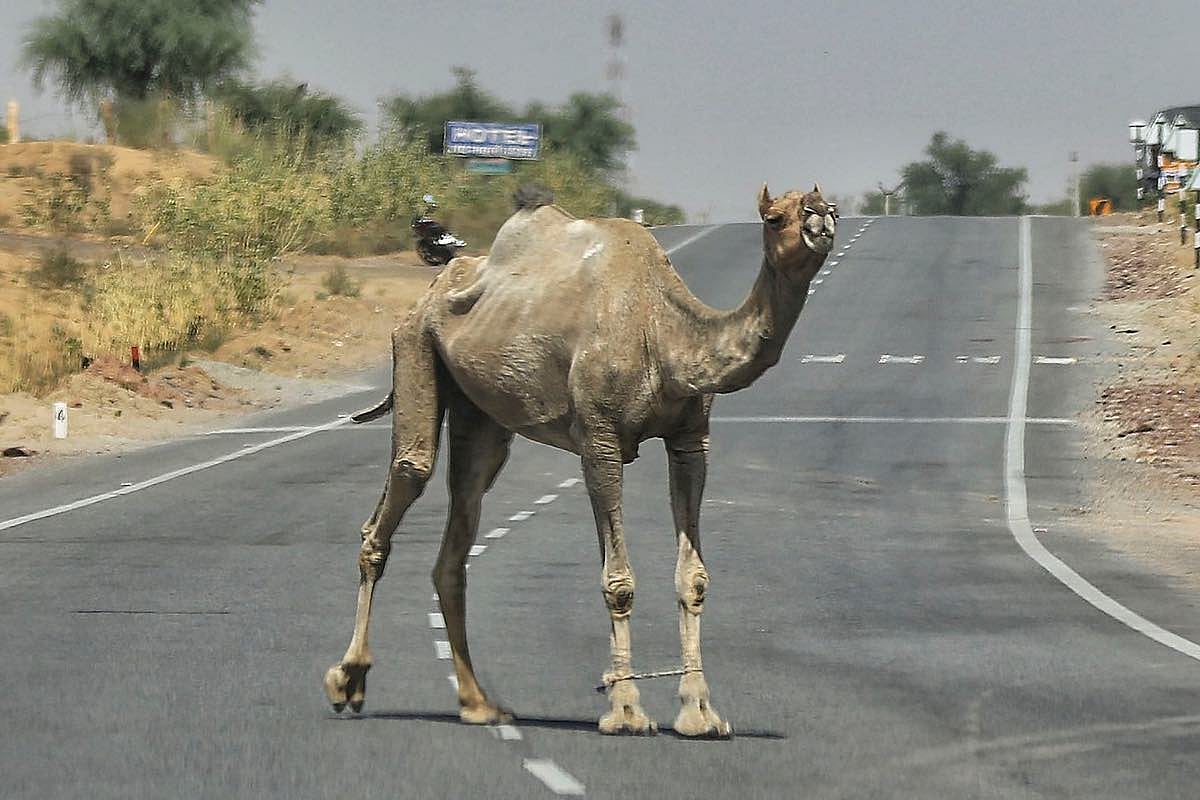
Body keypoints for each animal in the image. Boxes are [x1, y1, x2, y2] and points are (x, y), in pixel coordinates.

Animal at [324, 183, 837, 737]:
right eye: (774, 217)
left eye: (827, 205)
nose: (820, 222)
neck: (663, 335)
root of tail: (433, 289)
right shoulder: (600, 439)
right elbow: (619, 581)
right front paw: (627, 712)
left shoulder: (689, 440)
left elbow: (693, 578)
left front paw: (700, 713)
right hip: (415, 346)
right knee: (406, 476)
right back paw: (348, 681)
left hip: (480, 414)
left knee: (460, 522)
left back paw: (479, 703)